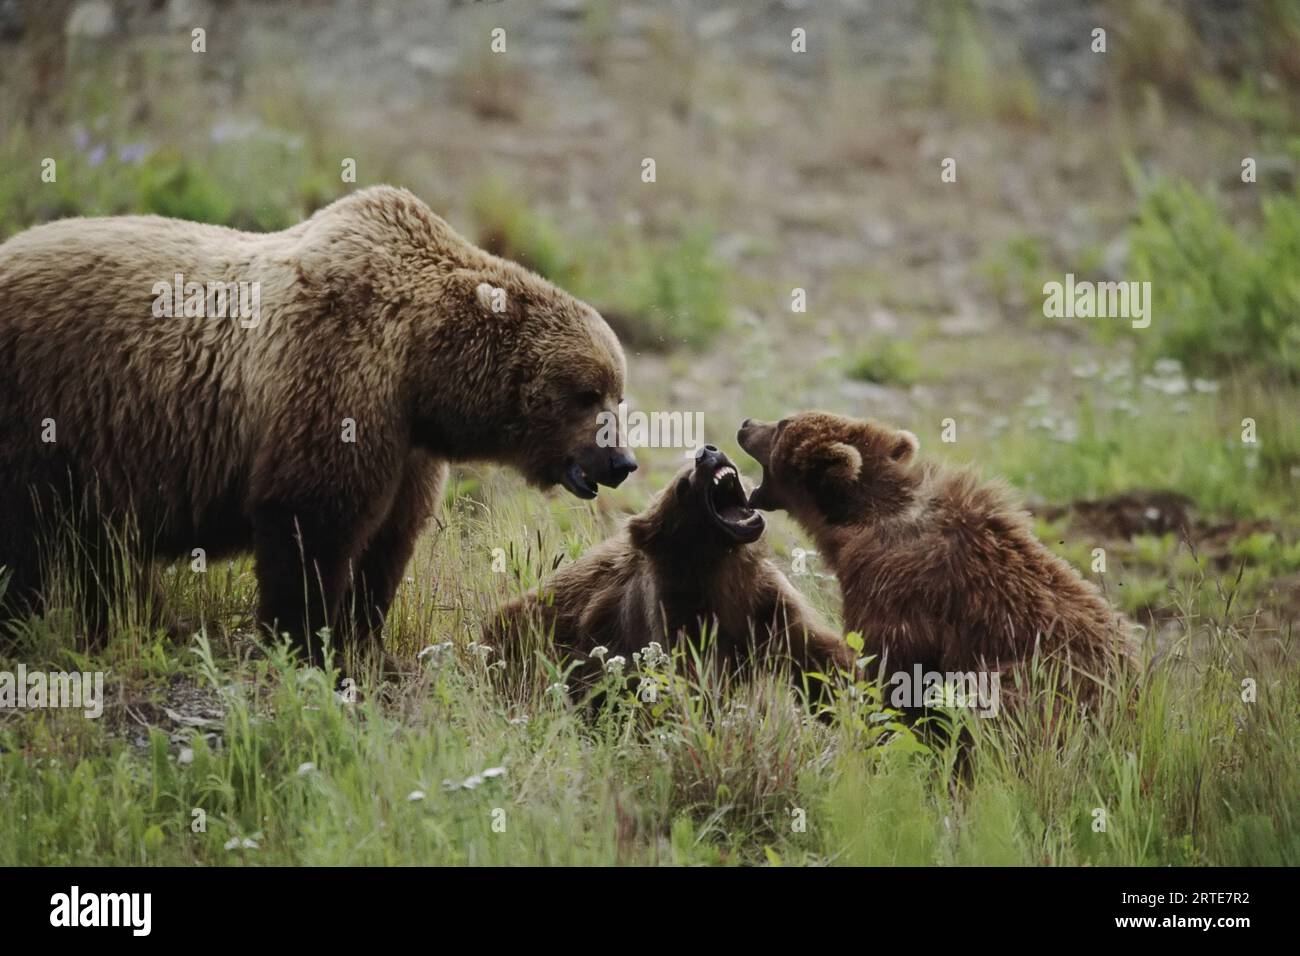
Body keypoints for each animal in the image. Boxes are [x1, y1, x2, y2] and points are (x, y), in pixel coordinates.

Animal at [0, 185, 636, 663]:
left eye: (617, 394)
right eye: (587, 394)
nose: (622, 461)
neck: (421, 369)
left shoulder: (407, 445)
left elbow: (387, 543)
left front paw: (362, 638)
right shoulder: (336, 378)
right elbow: (311, 522)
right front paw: (303, 642)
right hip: (44, 408)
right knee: (27, 542)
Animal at [485, 445, 854, 703]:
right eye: (681, 485)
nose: (707, 452)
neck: (721, 571)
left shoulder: (766, 605)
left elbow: (819, 657)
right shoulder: (679, 612)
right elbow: (689, 679)